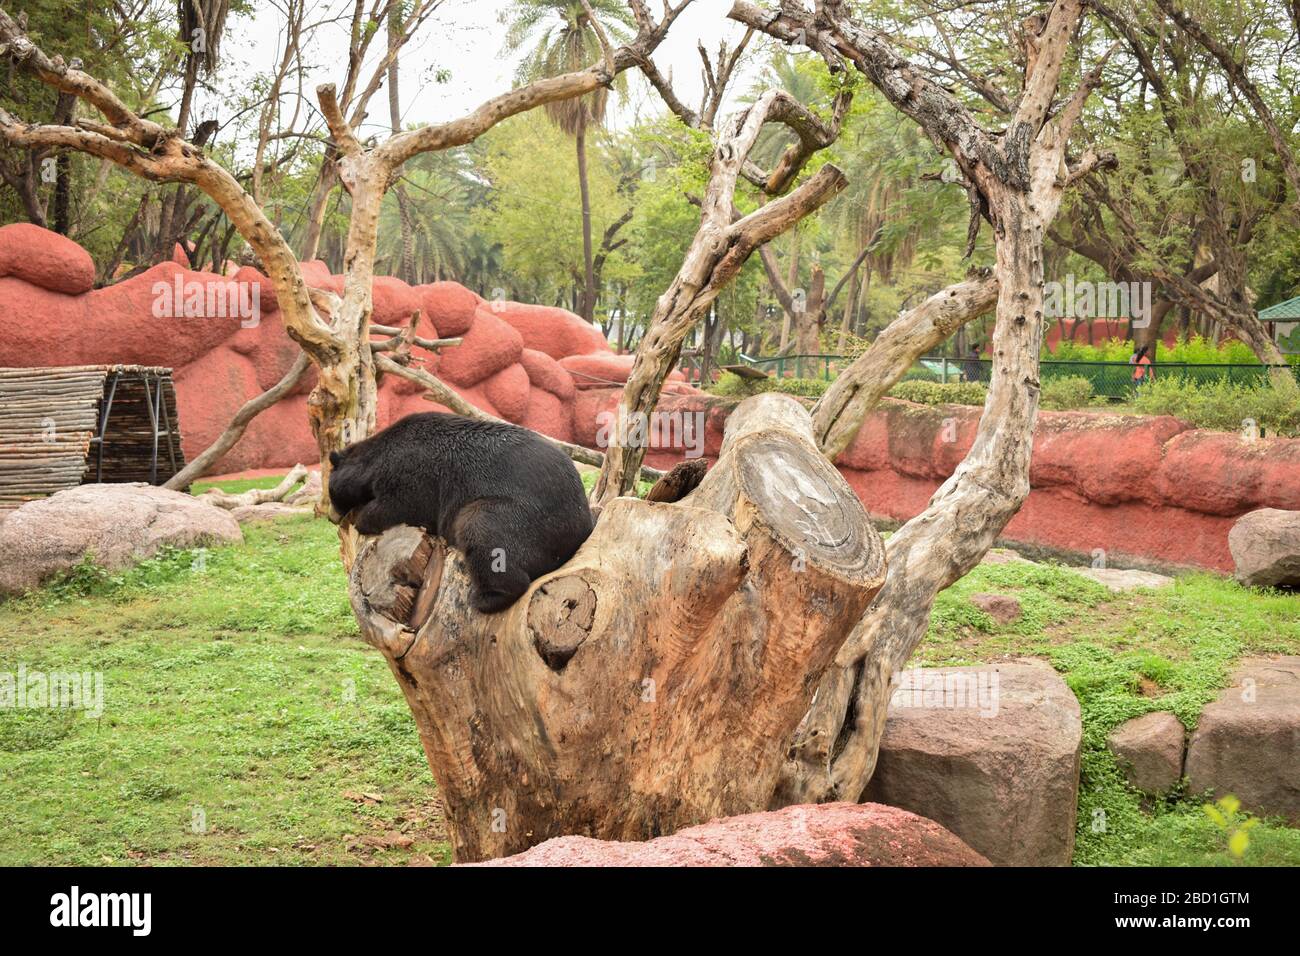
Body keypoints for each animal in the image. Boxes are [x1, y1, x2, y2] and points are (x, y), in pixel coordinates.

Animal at [328, 412, 594, 613]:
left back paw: (484, 598)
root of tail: (581, 527)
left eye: (330, 492)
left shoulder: (414, 473)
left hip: (526, 518)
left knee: (482, 530)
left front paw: (362, 517)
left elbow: (399, 506)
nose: (331, 517)